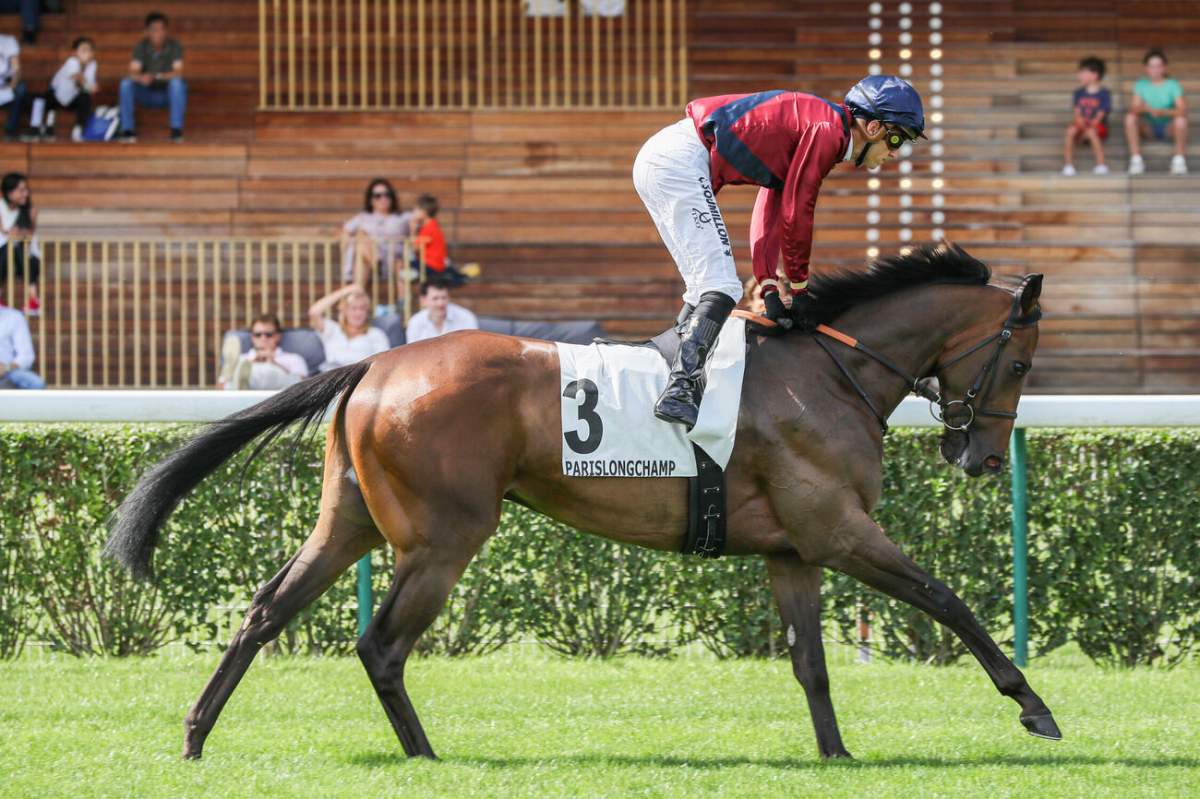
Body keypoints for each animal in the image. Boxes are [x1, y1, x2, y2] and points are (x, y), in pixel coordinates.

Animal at [105, 242, 1059, 761]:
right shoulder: (839, 530)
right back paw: (424, 753)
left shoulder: (793, 550)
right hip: (442, 538)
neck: (825, 371)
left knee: (265, 609)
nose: (978, 454)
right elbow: (947, 599)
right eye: (1019, 362)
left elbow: (811, 663)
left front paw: (835, 752)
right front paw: (1033, 704)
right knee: (380, 644)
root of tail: (374, 362)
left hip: (349, 520)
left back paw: (195, 731)